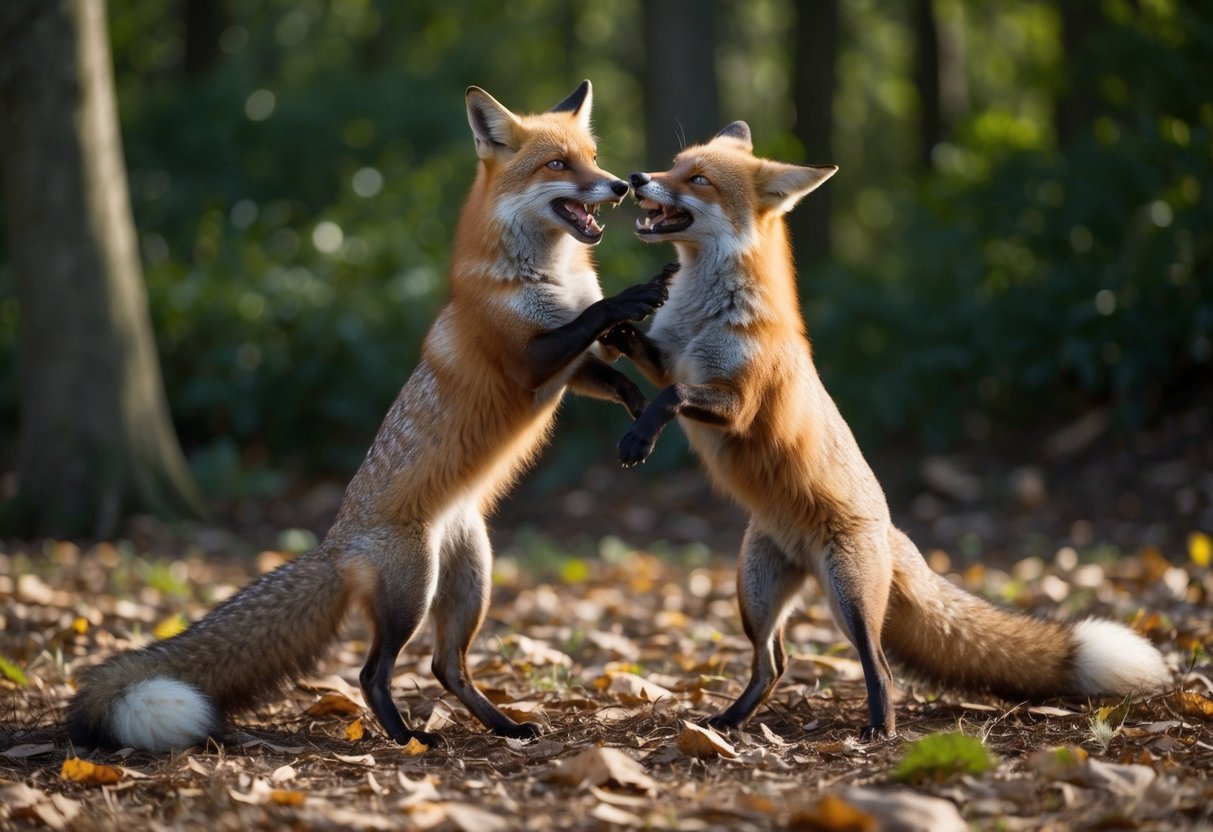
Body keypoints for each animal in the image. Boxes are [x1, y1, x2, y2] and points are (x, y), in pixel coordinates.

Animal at [67, 80, 675, 752]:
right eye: (558, 166)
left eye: (592, 158)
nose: (618, 186)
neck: (548, 275)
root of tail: (336, 543)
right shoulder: (526, 363)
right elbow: (592, 318)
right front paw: (635, 296)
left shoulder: (569, 373)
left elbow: (613, 372)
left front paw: (642, 421)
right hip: (414, 591)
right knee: (371, 672)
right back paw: (409, 737)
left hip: (471, 581)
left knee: (446, 667)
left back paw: (504, 726)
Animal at [605, 121, 1170, 740]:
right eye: (674, 165)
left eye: (699, 179)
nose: (636, 178)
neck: (703, 315)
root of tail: (891, 531)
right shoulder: (669, 358)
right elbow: (644, 357)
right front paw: (609, 316)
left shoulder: (738, 402)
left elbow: (672, 397)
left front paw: (638, 438)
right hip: (754, 590)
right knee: (774, 664)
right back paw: (729, 720)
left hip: (847, 597)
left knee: (878, 666)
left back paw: (881, 730)